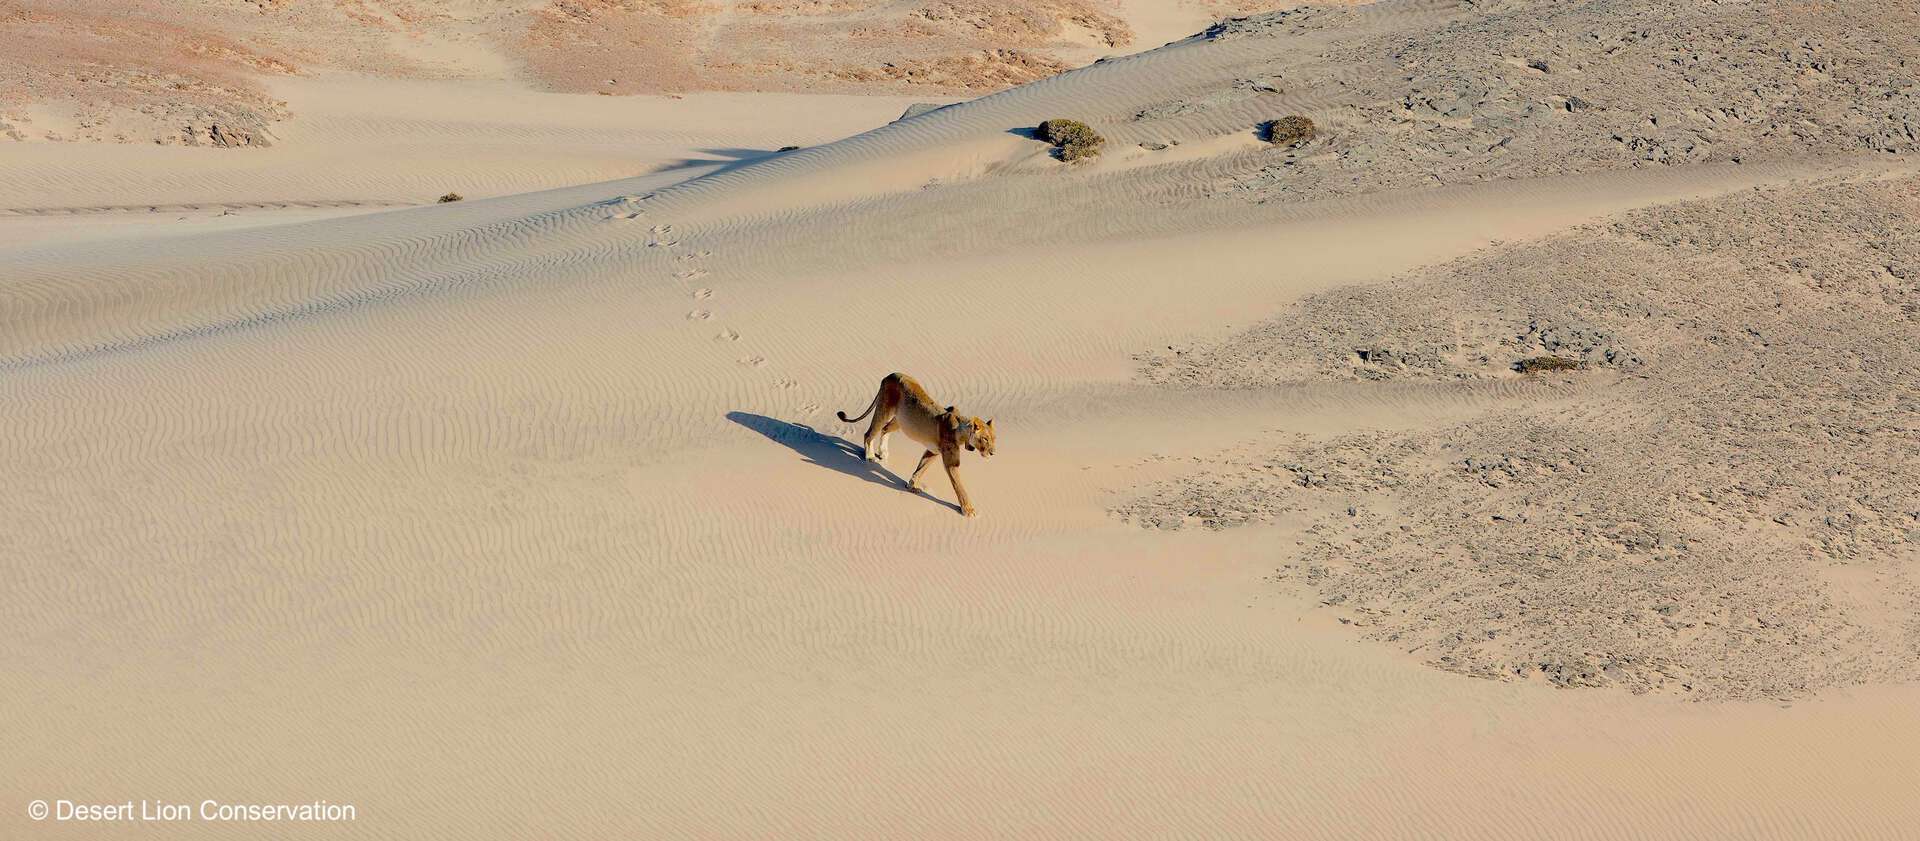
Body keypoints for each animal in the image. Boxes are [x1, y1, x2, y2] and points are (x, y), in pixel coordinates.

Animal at [837, 372, 996, 517]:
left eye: (994, 438)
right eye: (985, 439)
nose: (993, 452)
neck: (961, 432)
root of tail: (891, 374)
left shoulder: (933, 451)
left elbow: (921, 469)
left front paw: (911, 486)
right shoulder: (951, 462)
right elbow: (959, 485)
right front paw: (968, 509)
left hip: (901, 420)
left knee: (885, 429)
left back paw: (883, 452)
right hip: (884, 410)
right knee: (869, 433)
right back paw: (870, 456)